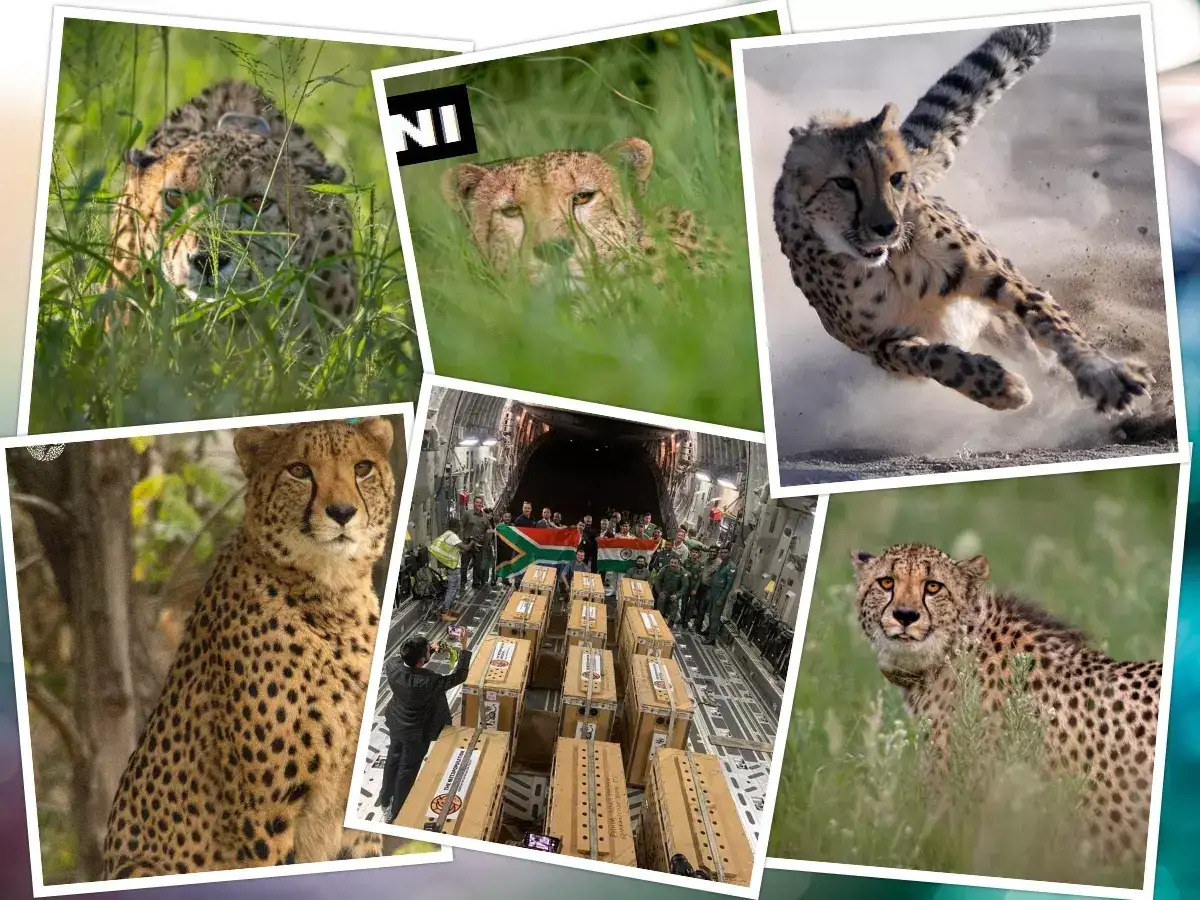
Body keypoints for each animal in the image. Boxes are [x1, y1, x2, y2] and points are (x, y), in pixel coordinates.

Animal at [773, 24, 1155, 416]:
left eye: (896, 178)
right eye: (844, 183)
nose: (887, 228)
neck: (887, 266)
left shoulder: (997, 276)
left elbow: (1049, 319)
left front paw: (1103, 374)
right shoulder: (881, 346)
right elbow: (936, 360)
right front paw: (999, 386)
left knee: (1031, 350)